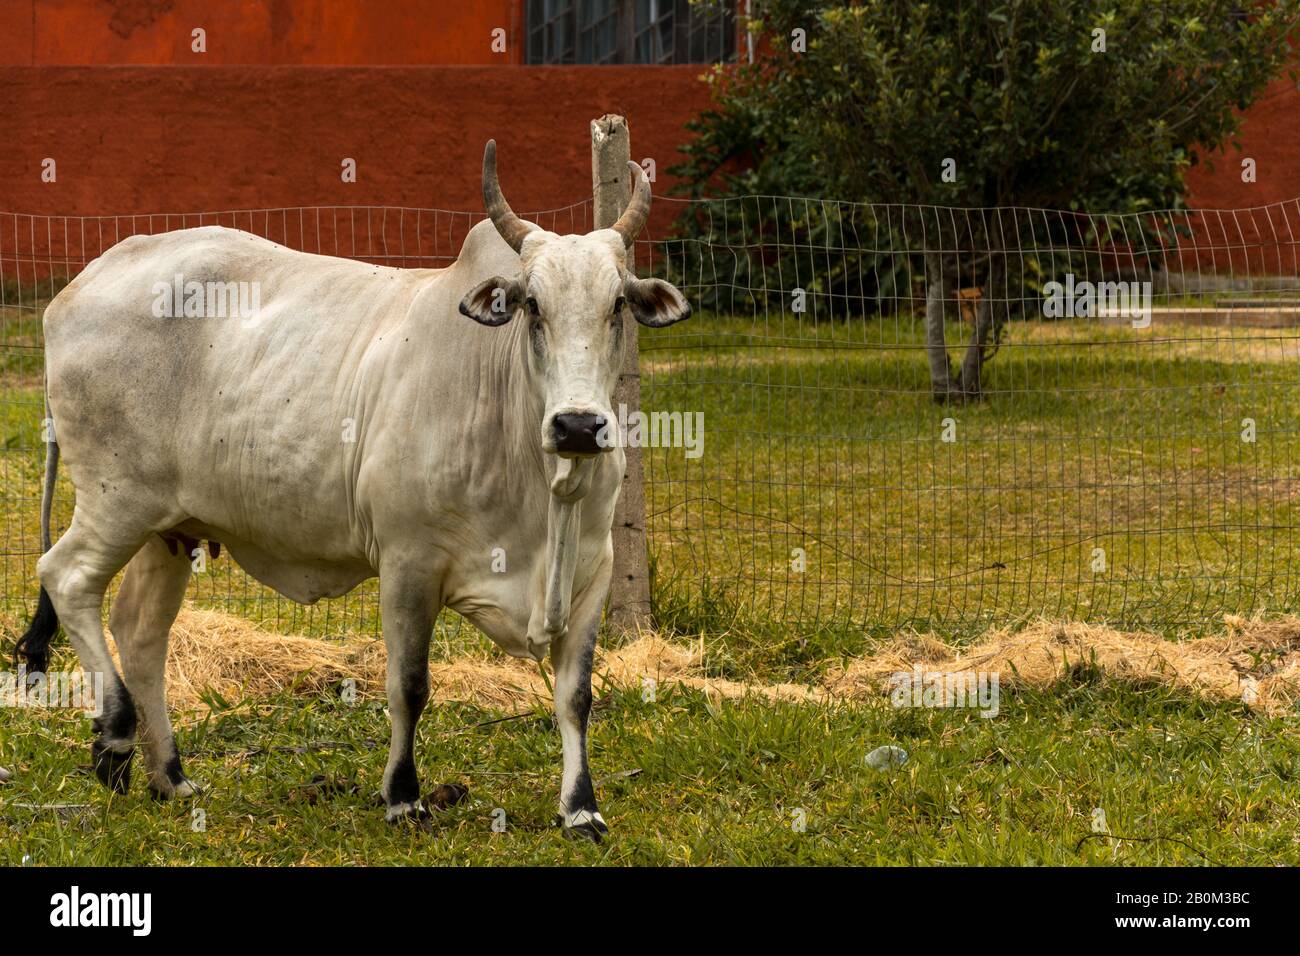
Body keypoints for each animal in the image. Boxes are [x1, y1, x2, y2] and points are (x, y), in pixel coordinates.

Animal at [12, 140, 690, 842]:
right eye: (532, 305)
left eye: (617, 305)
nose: (579, 425)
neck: (541, 488)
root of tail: (84, 282)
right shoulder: (408, 563)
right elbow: (408, 686)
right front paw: (404, 797)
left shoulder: (593, 572)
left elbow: (575, 695)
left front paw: (581, 808)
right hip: (113, 500)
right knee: (65, 578)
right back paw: (115, 736)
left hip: (169, 527)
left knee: (141, 630)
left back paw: (169, 775)